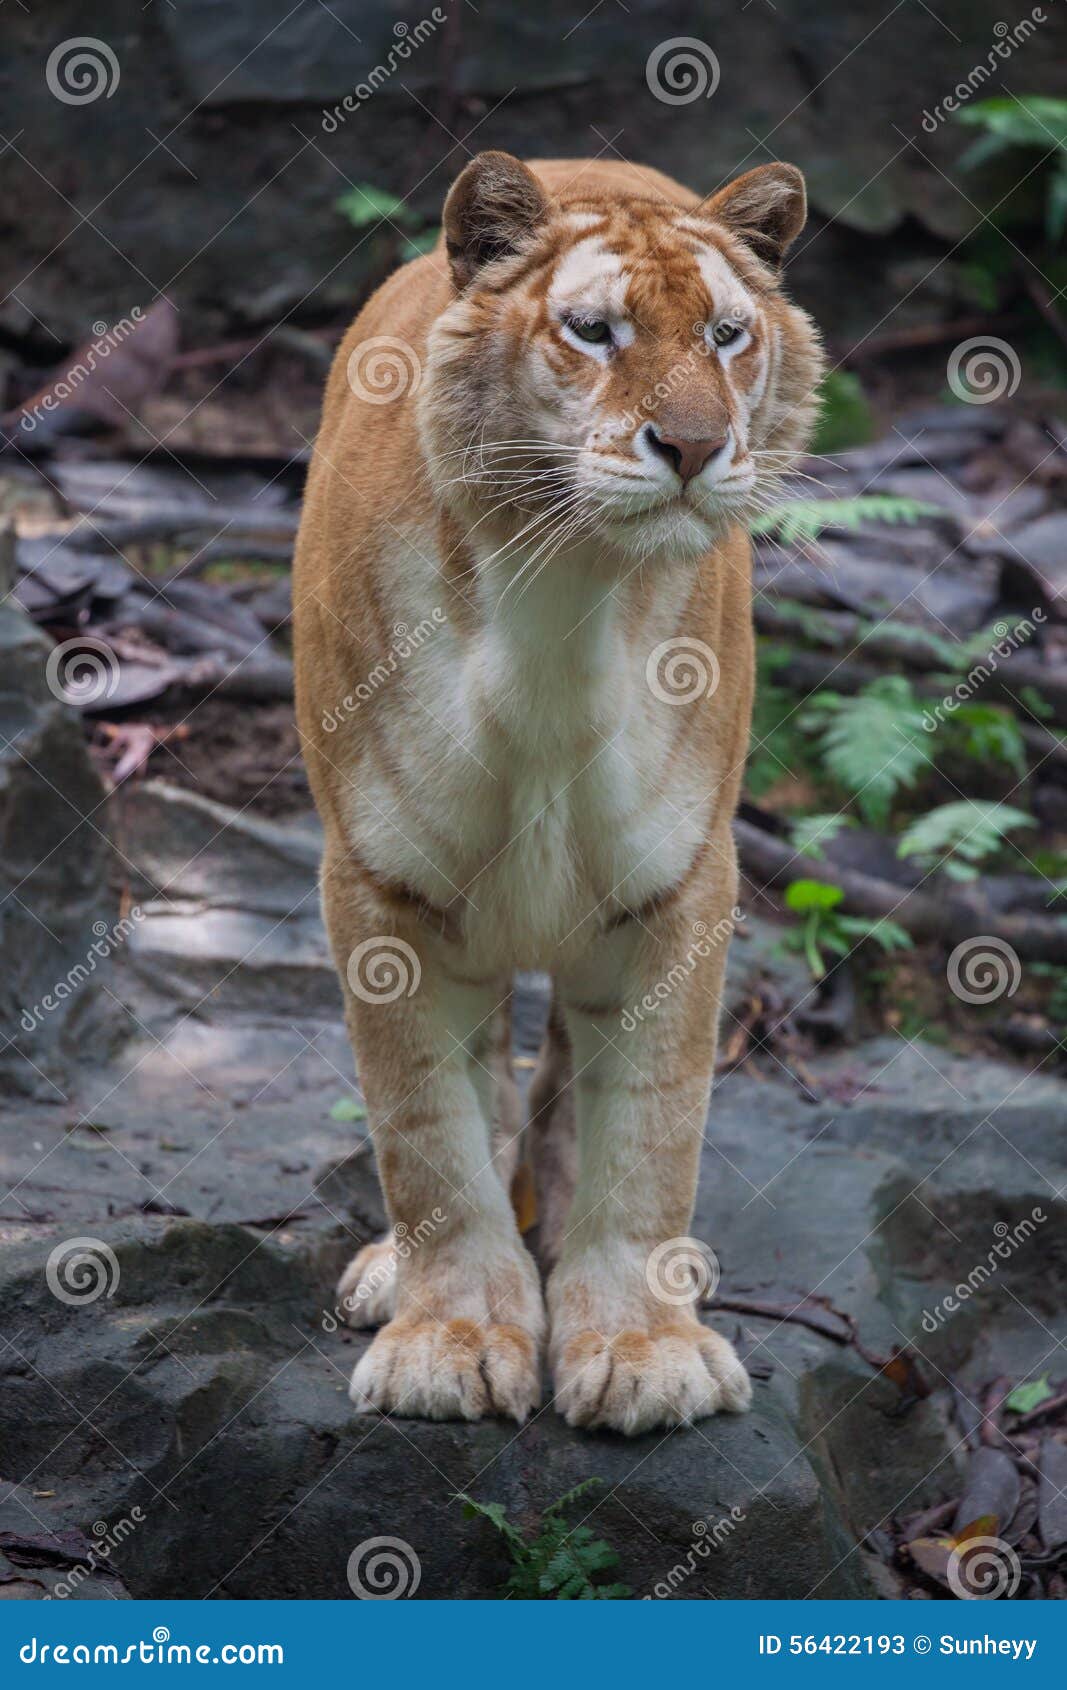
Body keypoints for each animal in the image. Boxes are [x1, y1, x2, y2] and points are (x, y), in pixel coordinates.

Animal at [293, 151, 823, 1434]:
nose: (692, 444)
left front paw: (639, 1346)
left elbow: (647, 1132)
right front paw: (448, 1338)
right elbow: (426, 1135)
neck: (564, 594)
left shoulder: (678, 889)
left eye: (725, 334)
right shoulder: (380, 884)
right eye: (593, 331)